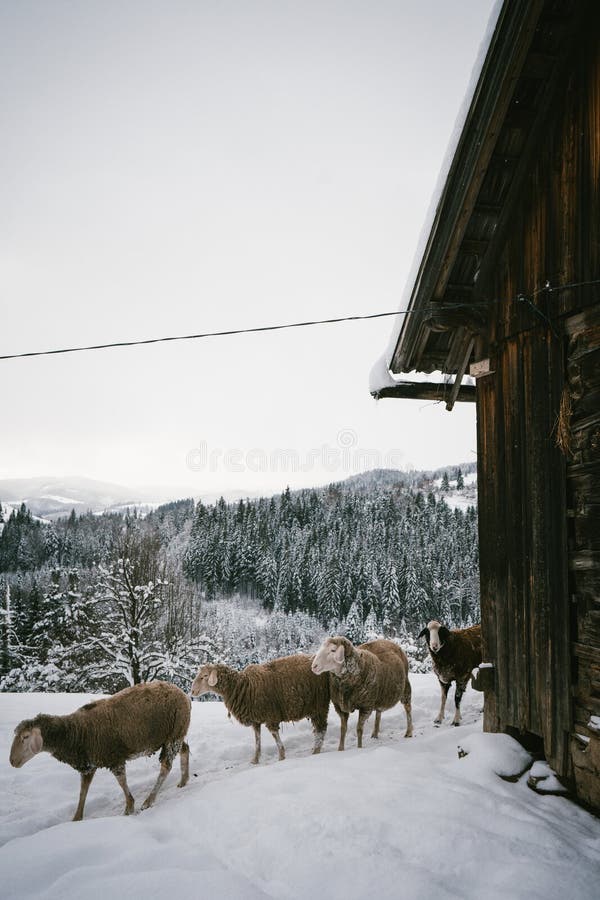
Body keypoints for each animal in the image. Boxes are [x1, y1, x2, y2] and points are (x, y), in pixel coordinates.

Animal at [9, 680, 191, 821]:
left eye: (25, 737)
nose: (12, 761)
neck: (75, 733)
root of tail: (183, 694)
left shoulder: (113, 756)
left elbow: (122, 782)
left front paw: (129, 807)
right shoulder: (88, 763)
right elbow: (83, 791)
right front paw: (76, 818)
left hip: (173, 735)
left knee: (166, 767)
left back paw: (149, 800)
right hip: (174, 734)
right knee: (185, 750)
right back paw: (183, 780)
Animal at [190, 653, 329, 764]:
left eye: (205, 676)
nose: (192, 691)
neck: (245, 687)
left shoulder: (271, 715)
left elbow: (275, 737)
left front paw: (281, 757)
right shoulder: (255, 720)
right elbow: (257, 741)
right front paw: (255, 760)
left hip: (319, 704)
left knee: (321, 729)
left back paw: (316, 751)